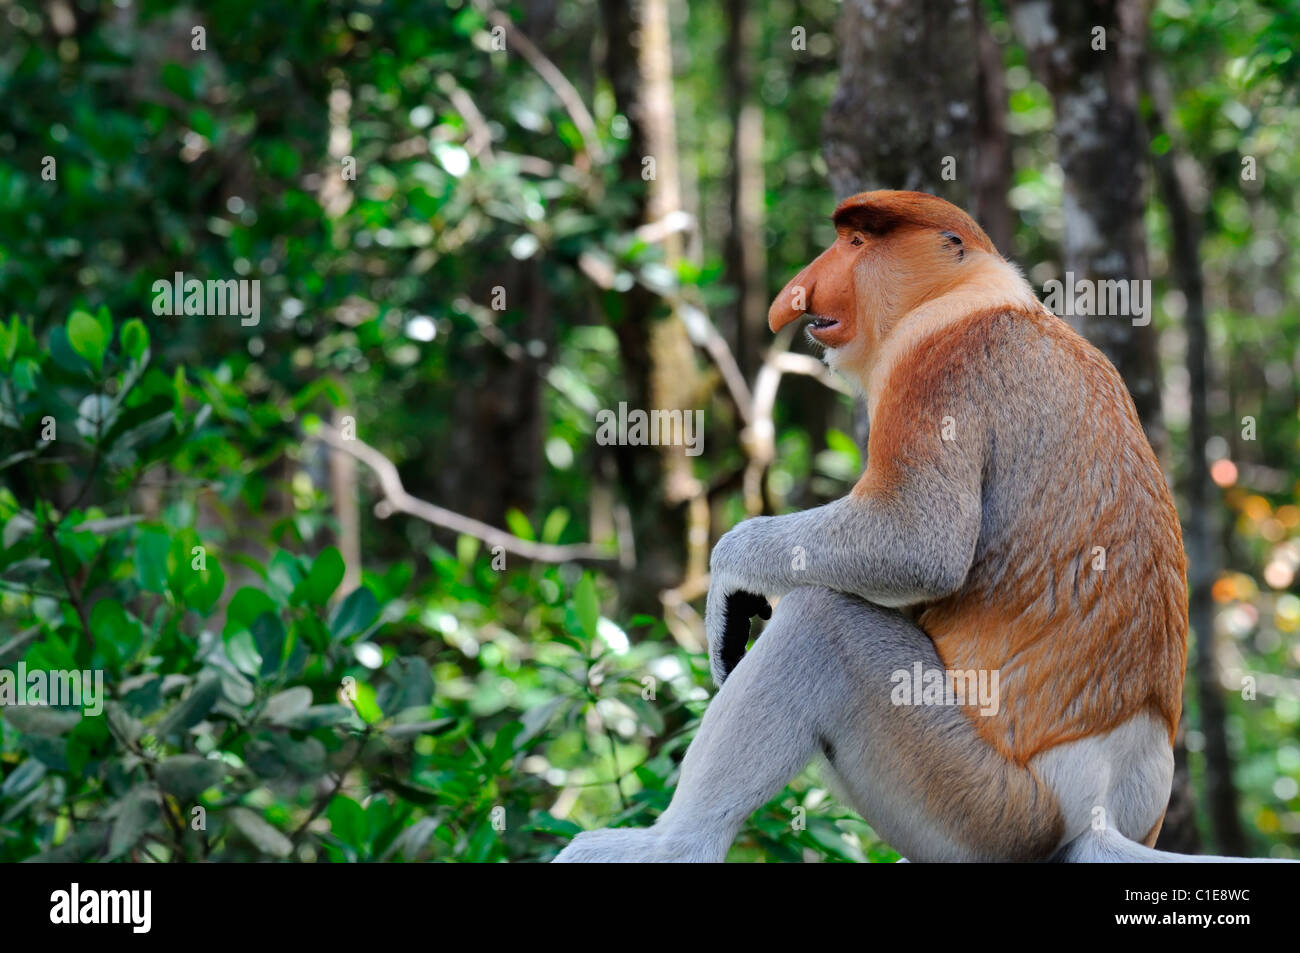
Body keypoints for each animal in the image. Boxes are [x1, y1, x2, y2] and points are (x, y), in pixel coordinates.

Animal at [554, 190, 1286, 863]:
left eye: (856, 242)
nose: (795, 296)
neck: (970, 293)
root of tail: (1104, 810)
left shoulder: (935, 367)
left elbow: (917, 540)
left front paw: (729, 580)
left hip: (986, 808)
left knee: (823, 622)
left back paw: (668, 844)